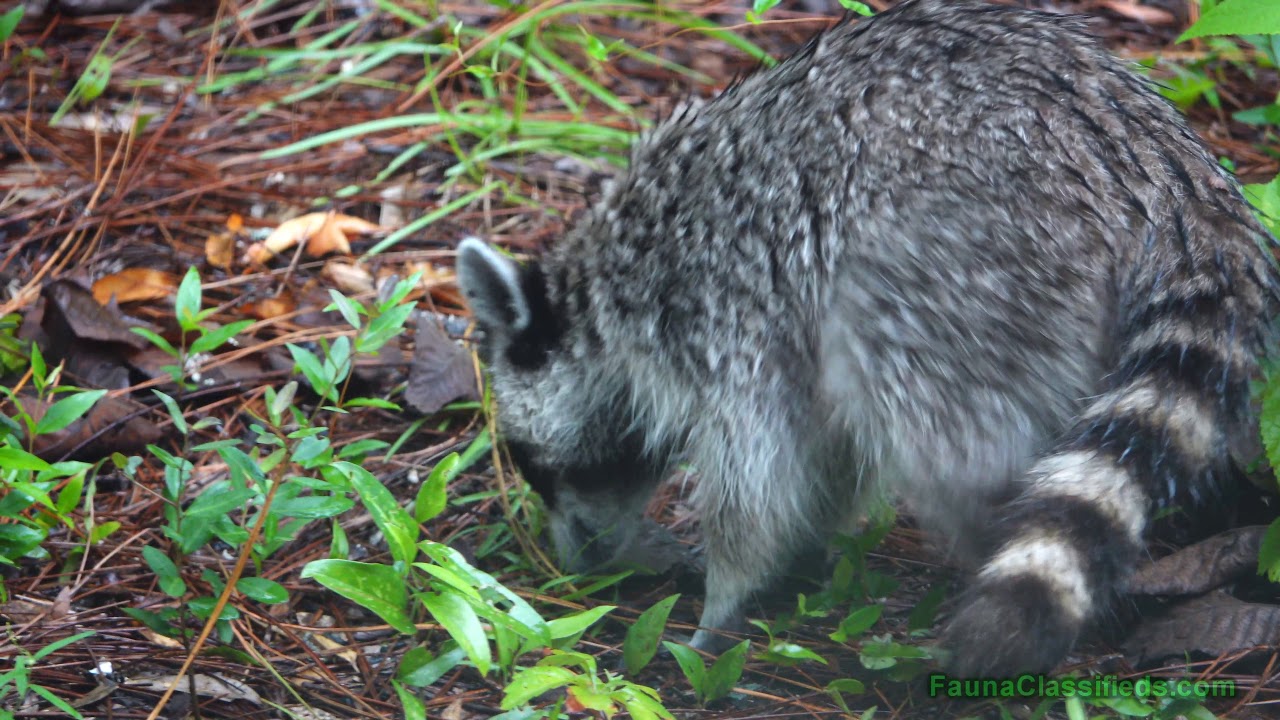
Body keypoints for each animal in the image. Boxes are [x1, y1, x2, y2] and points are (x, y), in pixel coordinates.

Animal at [455, 0, 1279, 677]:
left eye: (533, 466)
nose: (577, 567)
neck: (603, 299)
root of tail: (1170, 179)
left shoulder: (721, 311)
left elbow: (757, 474)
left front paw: (724, 599)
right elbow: (827, 451)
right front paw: (801, 550)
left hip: (955, 251)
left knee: (933, 423)